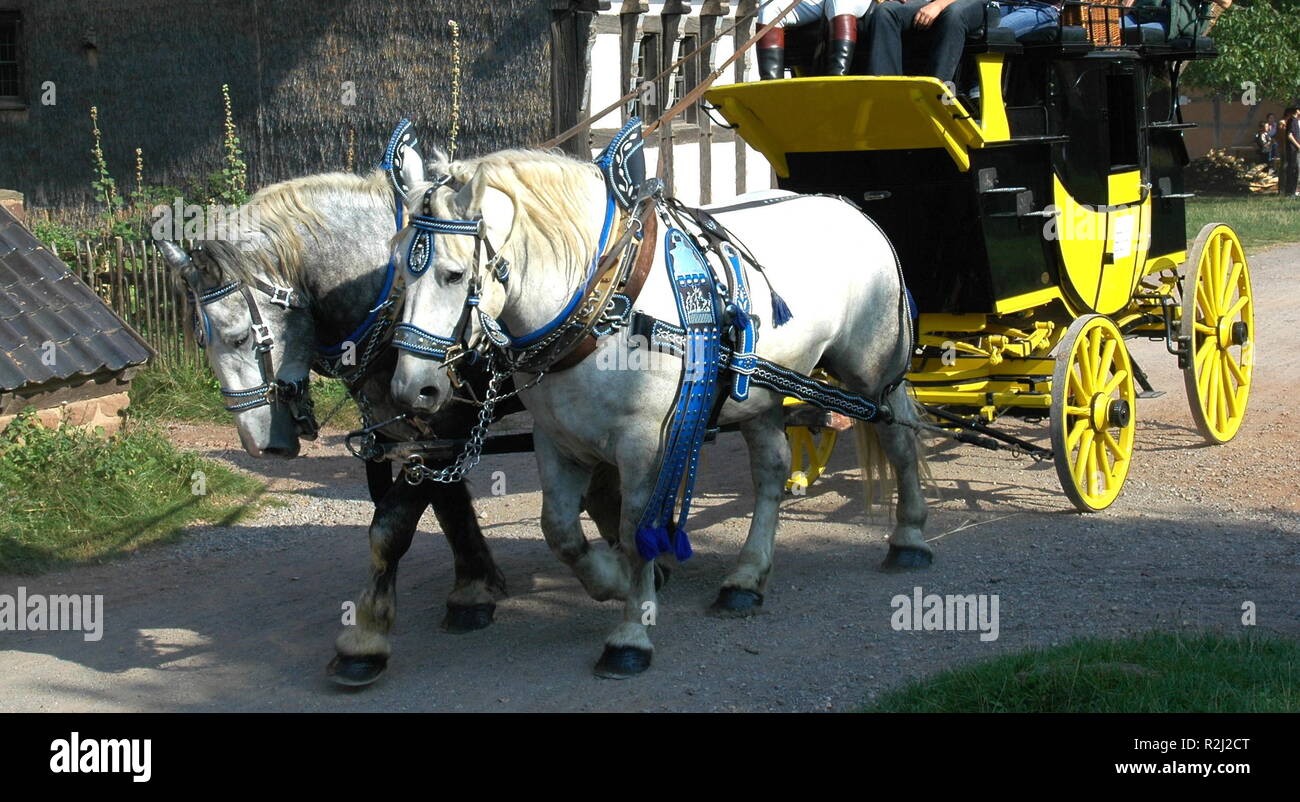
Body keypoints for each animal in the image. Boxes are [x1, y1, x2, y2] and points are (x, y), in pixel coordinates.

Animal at [154, 167, 627, 686]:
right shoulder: (409, 433)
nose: (260, 446)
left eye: (240, 337)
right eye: (201, 341)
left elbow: (391, 526)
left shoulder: (444, 428)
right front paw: (473, 590)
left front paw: (365, 641)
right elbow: (448, 508)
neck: (391, 296)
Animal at [387, 145, 930, 677]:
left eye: (453, 274)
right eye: (398, 274)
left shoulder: (644, 442)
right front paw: (610, 581)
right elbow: (560, 531)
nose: (414, 390)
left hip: (873, 371)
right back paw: (746, 578)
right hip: (757, 393)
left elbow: (634, 531)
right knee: (772, 471)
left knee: (899, 440)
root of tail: (853, 210)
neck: (606, 303)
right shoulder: (556, 439)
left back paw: (909, 538)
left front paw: (632, 632)